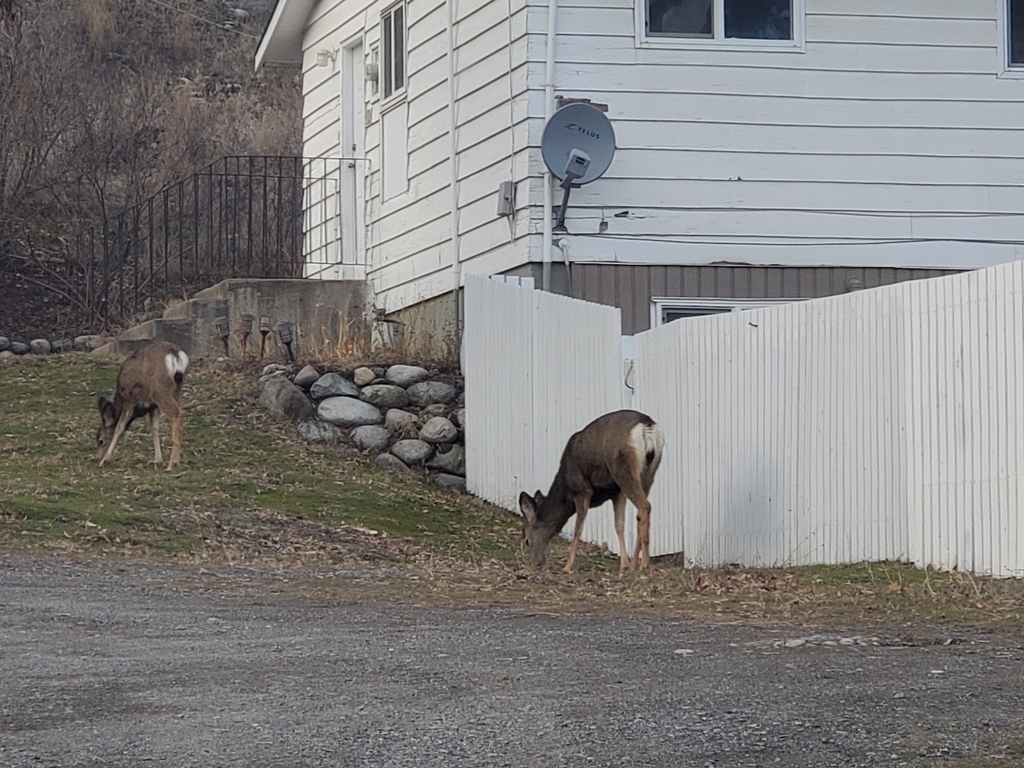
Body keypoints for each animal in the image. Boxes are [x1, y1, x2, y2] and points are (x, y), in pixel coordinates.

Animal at [95, 340, 190, 471]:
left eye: (100, 441)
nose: (97, 457)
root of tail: (175, 354)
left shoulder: (130, 401)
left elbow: (119, 428)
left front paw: (105, 460)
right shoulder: (153, 406)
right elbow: (154, 429)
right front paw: (157, 461)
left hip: (160, 390)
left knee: (177, 414)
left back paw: (172, 464)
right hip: (177, 390)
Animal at [518, 409, 665, 573]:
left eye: (527, 540)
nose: (535, 564)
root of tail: (647, 425)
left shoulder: (582, 489)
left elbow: (578, 528)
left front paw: (567, 566)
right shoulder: (616, 492)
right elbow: (619, 525)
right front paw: (624, 565)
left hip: (623, 468)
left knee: (644, 506)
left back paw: (644, 563)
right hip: (648, 472)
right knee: (641, 511)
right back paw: (635, 564)